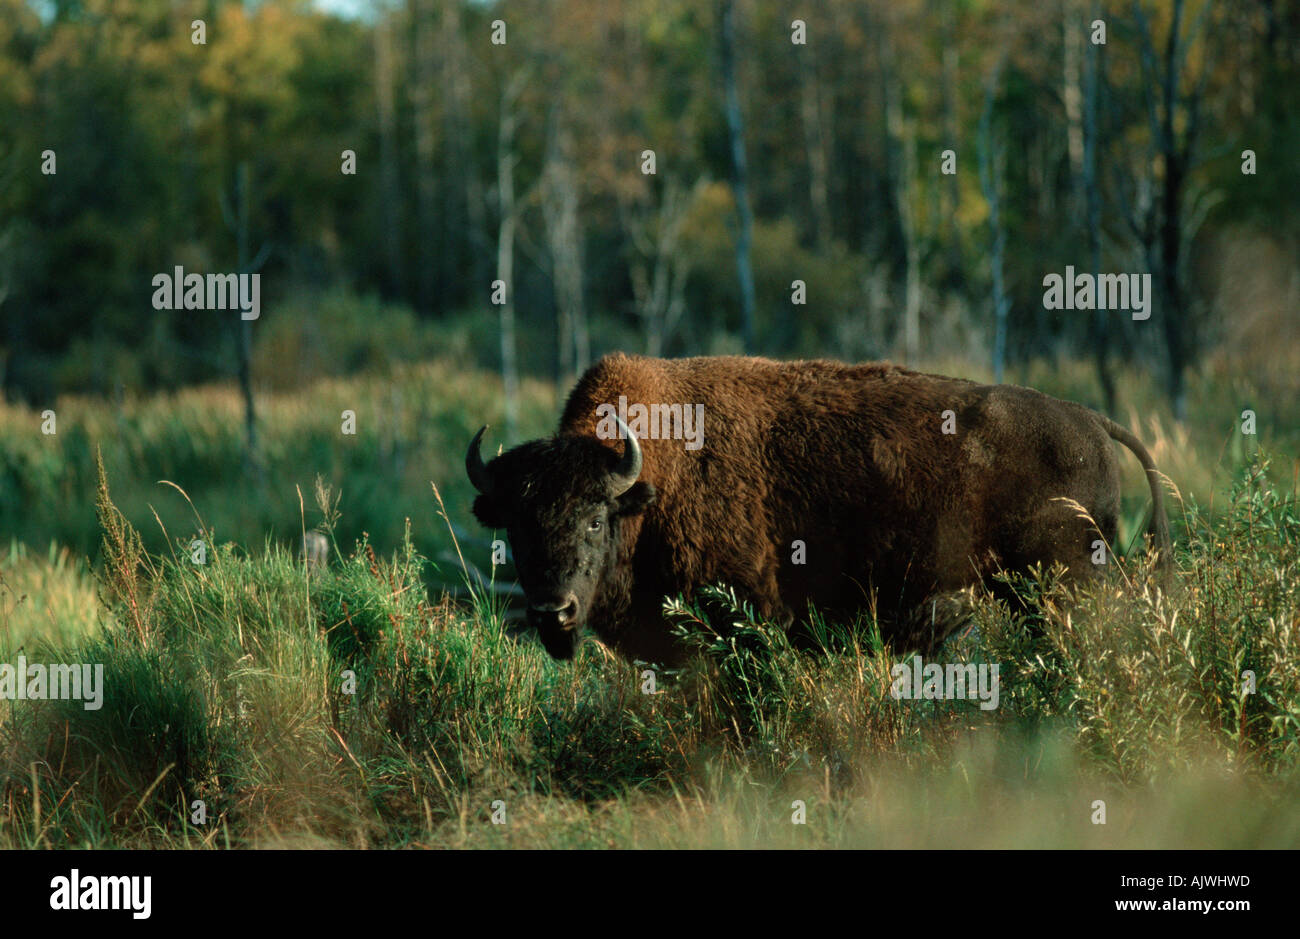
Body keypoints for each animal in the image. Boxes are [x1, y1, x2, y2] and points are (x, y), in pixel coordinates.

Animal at [467, 354, 1169, 663]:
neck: (646, 485)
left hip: (1063, 587)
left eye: (593, 518)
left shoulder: (745, 617)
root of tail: (1092, 422)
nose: (553, 612)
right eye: (517, 530)